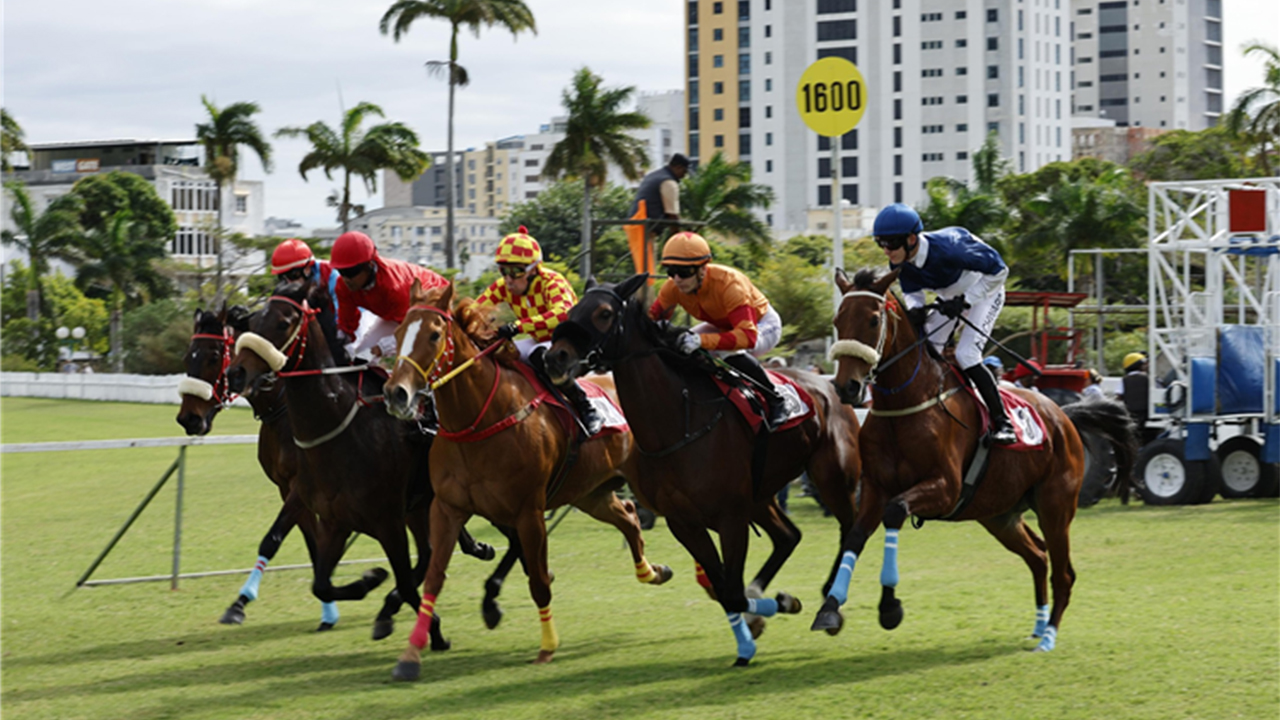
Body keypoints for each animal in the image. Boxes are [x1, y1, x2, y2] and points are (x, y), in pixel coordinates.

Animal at [382, 280, 673, 682]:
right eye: (397, 333)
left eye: (434, 335)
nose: (397, 394)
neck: (480, 420)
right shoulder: (446, 508)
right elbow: (434, 578)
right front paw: (410, 657)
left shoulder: (528, 512)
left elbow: (538, 581)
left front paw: (547, 646)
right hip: (590, 493)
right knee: (629, 516)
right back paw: (652, 571)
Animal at [542, 274, 863, 667]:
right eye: (572, 309)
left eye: (604, 313)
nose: (555, 357)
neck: (679, 424)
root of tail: (831, 385)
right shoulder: (685, 523)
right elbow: (725, 590)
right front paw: (751, 635)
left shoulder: (730, 516)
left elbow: (732, 591)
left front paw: (780, 606)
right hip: (761, 495)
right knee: (788, 536)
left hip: (832, 477)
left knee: (849, 529)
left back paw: (830, 605)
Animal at [815, 267, 1137, 652]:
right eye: (838, 320)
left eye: (873, 319)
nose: (846, 387)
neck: (906, 404)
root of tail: (1065, 416)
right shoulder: (876, 488)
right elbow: (855, 537)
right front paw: (829, 608)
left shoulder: (945, 488)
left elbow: (895, 512)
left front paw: (890, 607)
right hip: (1000, 514)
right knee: (1038, 555)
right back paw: (1038, 626)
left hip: (1055, 508)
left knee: (1064, 572)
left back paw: (1048, 637)